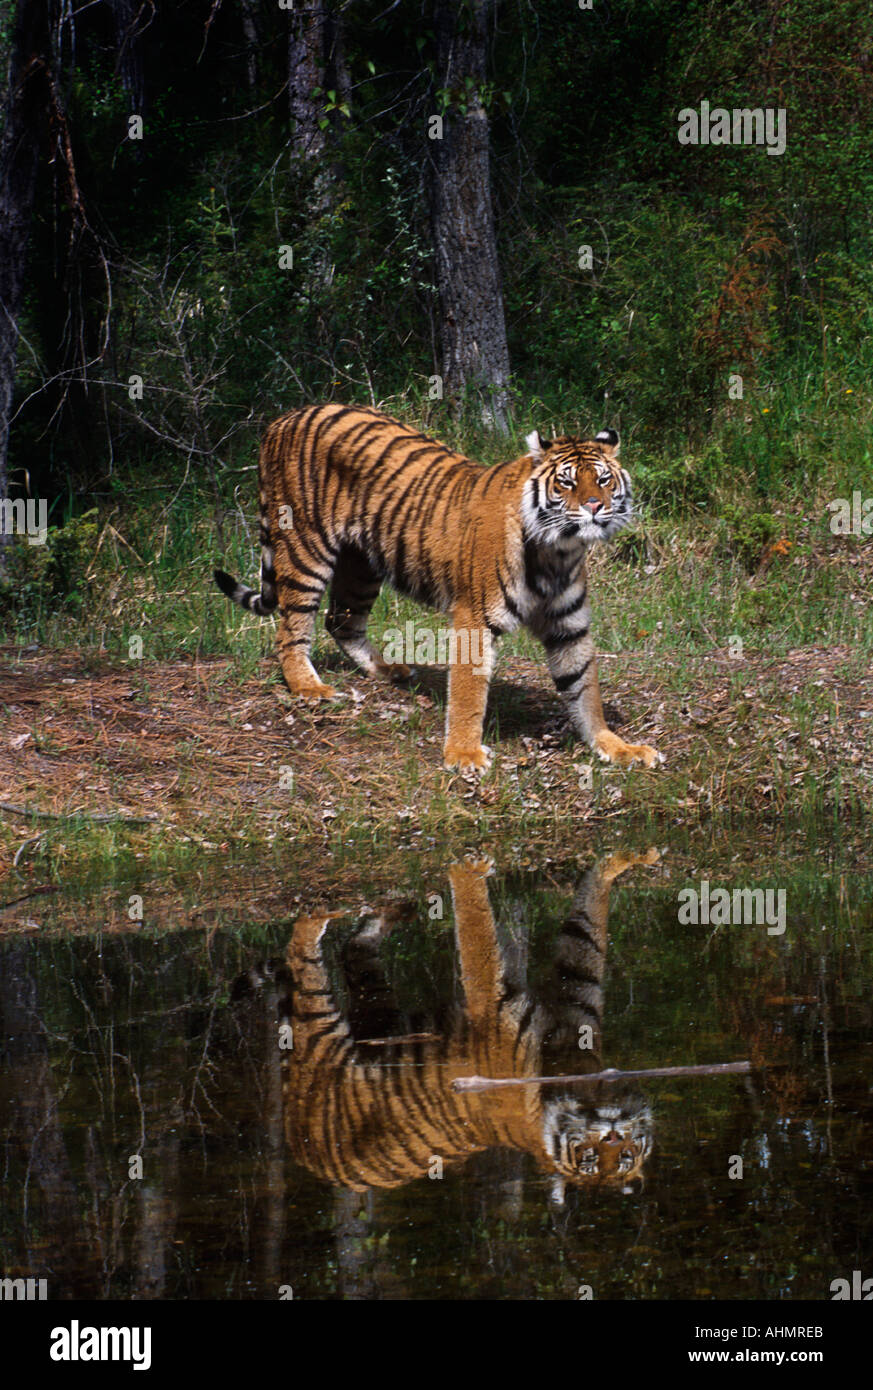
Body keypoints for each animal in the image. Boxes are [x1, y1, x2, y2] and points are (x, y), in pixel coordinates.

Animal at [214, 403, 661, 771]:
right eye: (566, 483)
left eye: (603, 480)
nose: (594, 506)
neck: (559, 550)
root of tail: (282, 419)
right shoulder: (474, 619)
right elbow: (468, 693)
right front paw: (463, 754)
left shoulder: (570, 625)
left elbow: (585, 690)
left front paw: (615, 746)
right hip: (306, 549)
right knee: (291, 629)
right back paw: (309, 687)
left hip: (362, 565)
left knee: (341, 620)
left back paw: (387, 669)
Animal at [272, 848, 660, 1200]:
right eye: (589, 1158)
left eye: (625, 1156)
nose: (613, 1132)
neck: (578, 1089)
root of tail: (299, 1148)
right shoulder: (491, 1007)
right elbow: (478, 933)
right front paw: (470, 868)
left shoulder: (577, 1009)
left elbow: (585, 932)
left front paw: (623, 860)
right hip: (318, 1021)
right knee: (300, 954)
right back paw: (317, 916)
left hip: (380, 1012)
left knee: (353, 949)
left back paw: (395, 910)